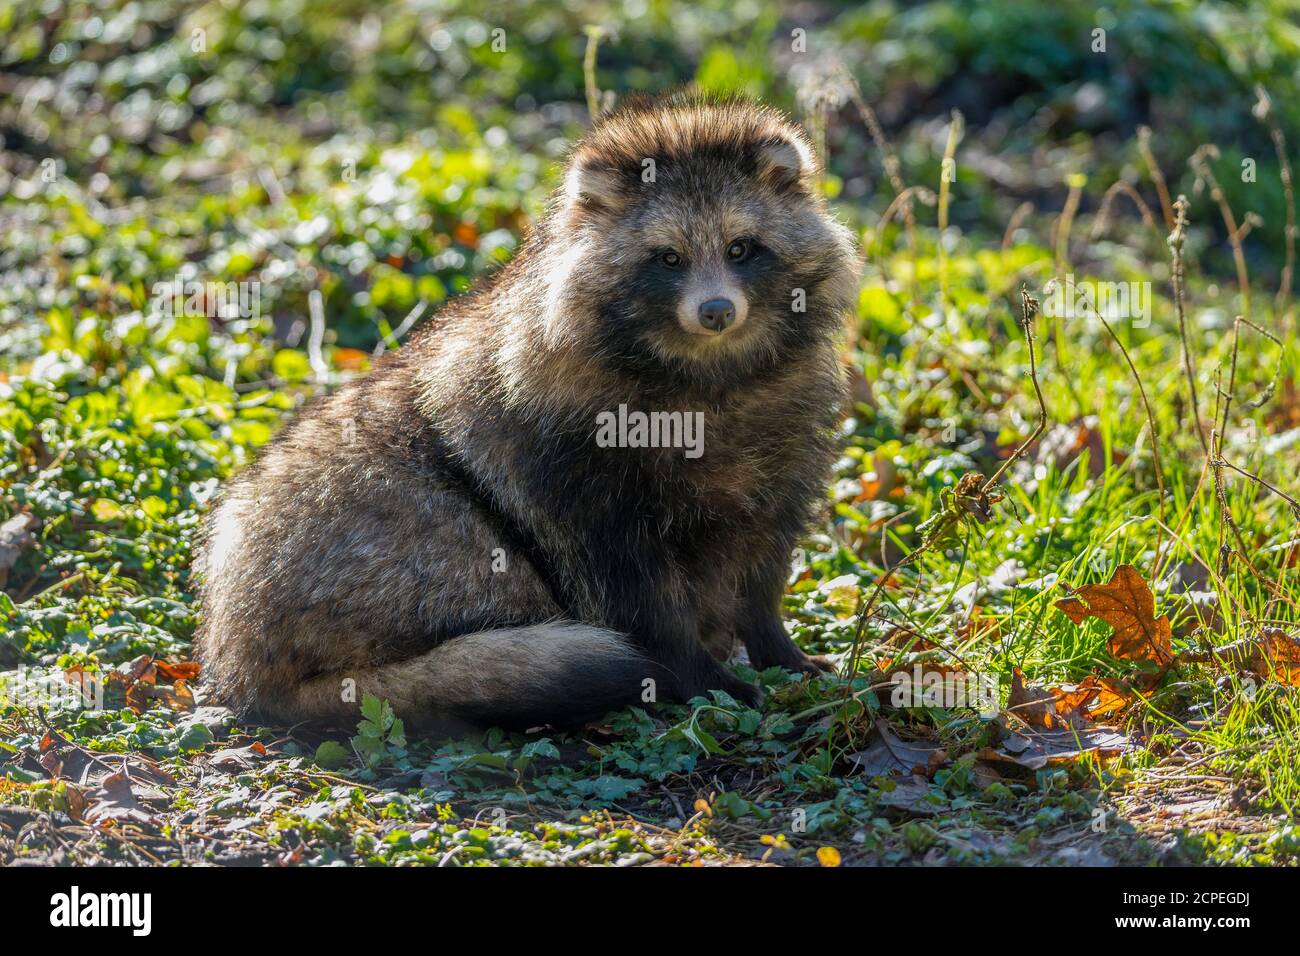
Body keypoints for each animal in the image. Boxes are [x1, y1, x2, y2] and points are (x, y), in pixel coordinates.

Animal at [194, 95, 860, 731]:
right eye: (668, 258)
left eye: (741, 248)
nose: (717, 310)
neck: (704, 375)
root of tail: (239, 653)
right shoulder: (568, 466)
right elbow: (636, 593)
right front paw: (700, 673)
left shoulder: (784, 438)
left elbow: (762, 560)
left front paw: (776, 645)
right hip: (375, 527)